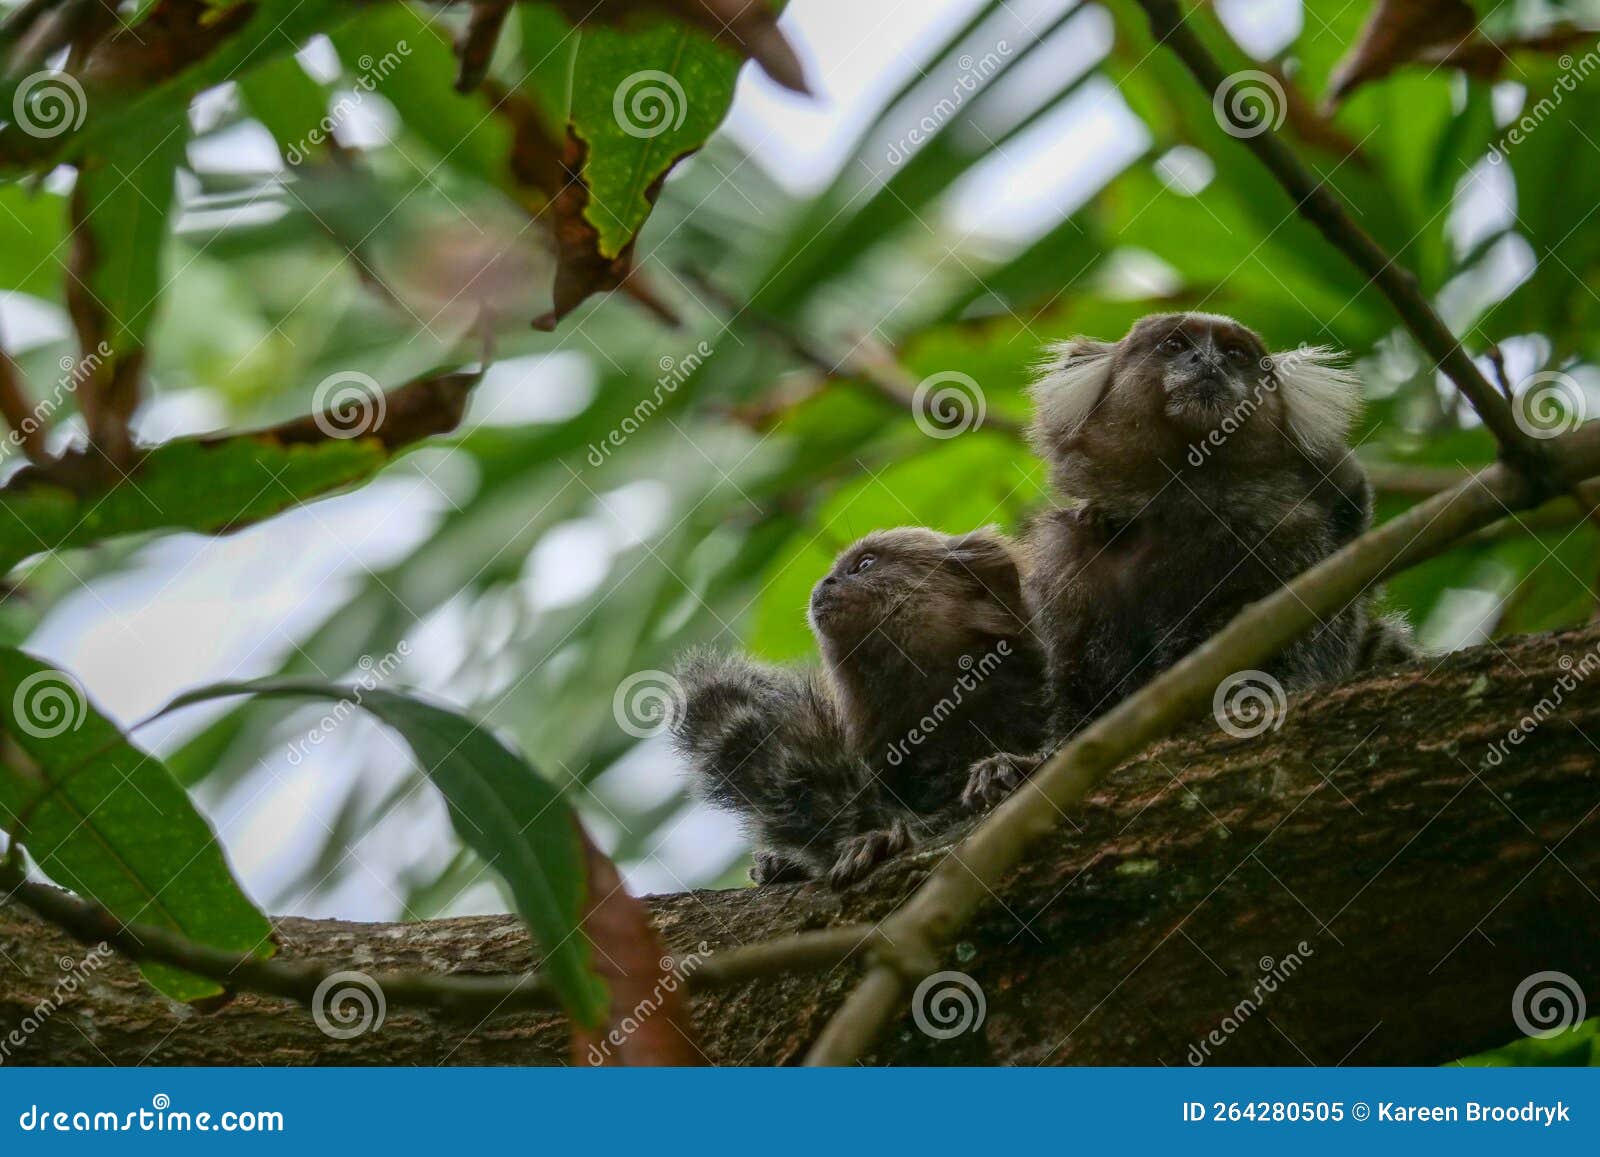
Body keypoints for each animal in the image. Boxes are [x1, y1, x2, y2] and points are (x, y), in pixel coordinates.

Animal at [963, 311, 1416, 809]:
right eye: (1176, 345)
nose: (1209, 361)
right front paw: (1025, 766)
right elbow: (1081, 693)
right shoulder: (1071, 562)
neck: (1179, 503)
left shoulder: (1288, 542)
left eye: (1236, 354)